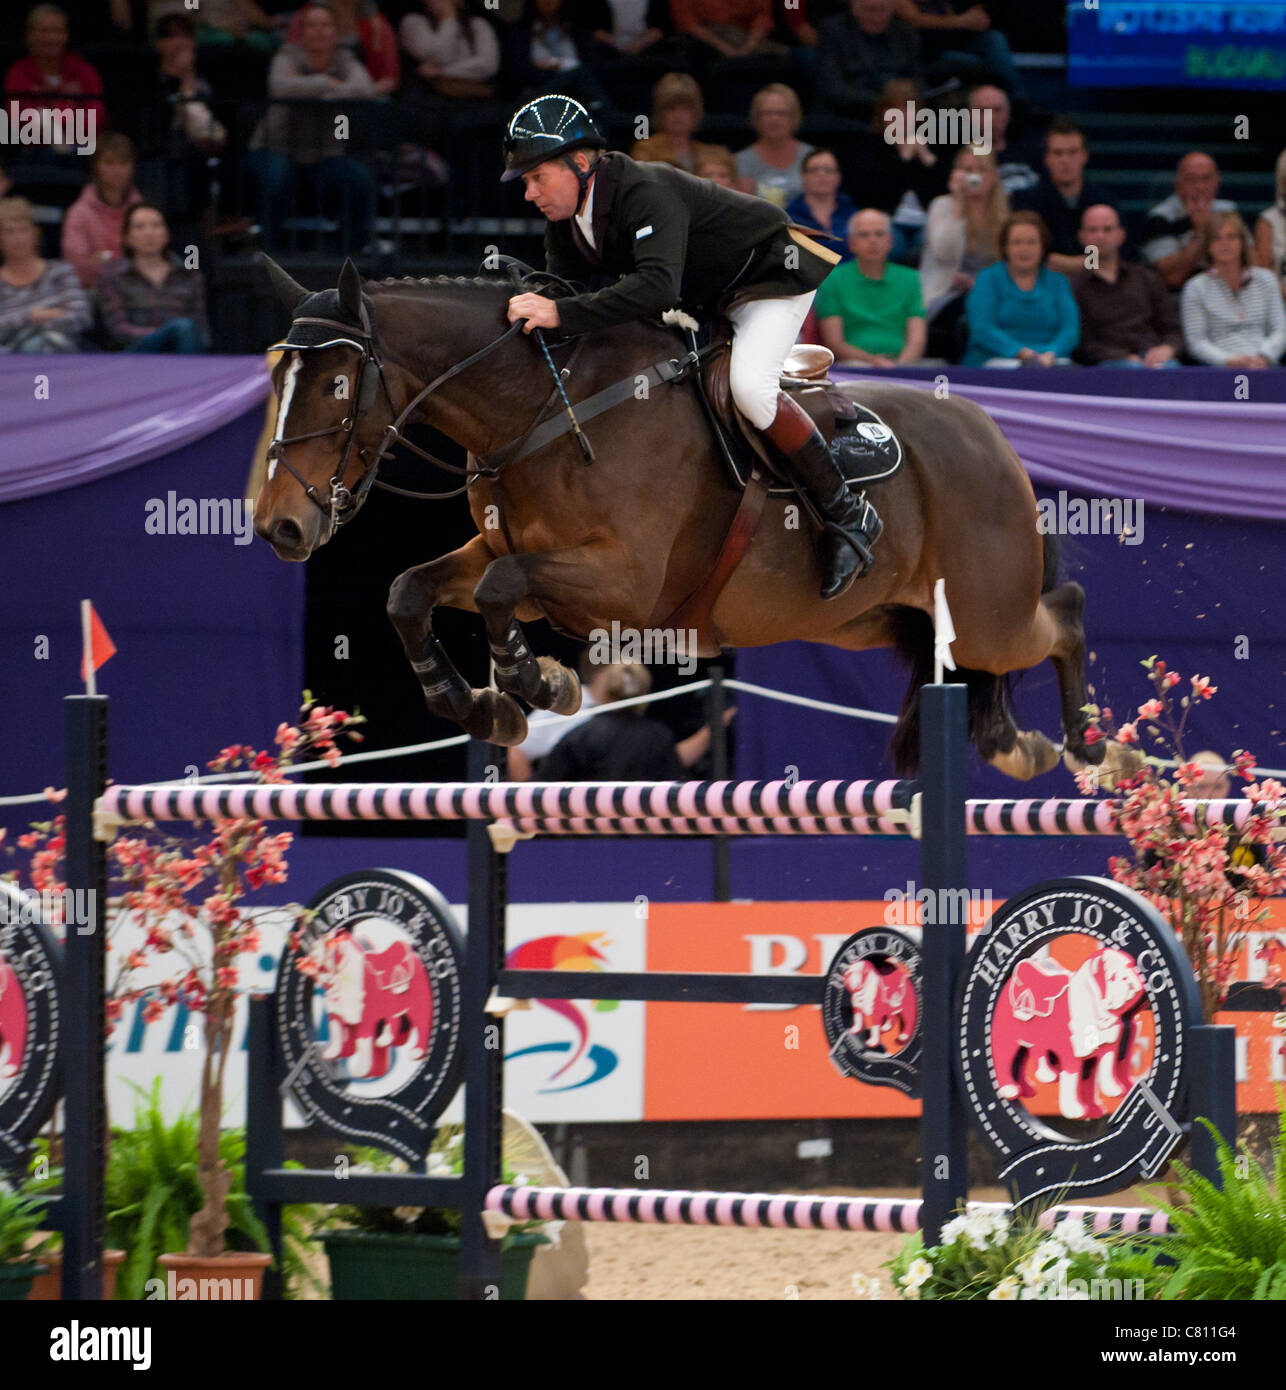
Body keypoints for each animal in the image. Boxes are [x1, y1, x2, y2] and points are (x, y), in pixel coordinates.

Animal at [252, 255, 1134, 782]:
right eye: (275, 382)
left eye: (336, 386)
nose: (279, 529)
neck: (541, 410)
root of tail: (993, 439)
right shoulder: (512, 557)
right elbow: (411, 590)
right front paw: (486, 705)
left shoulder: (625, 583)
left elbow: (502, 588)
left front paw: (543, 682)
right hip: (889, 620)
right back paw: (1019, 746)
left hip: (989, 611)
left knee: (1065, 615)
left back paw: (1095, 749)